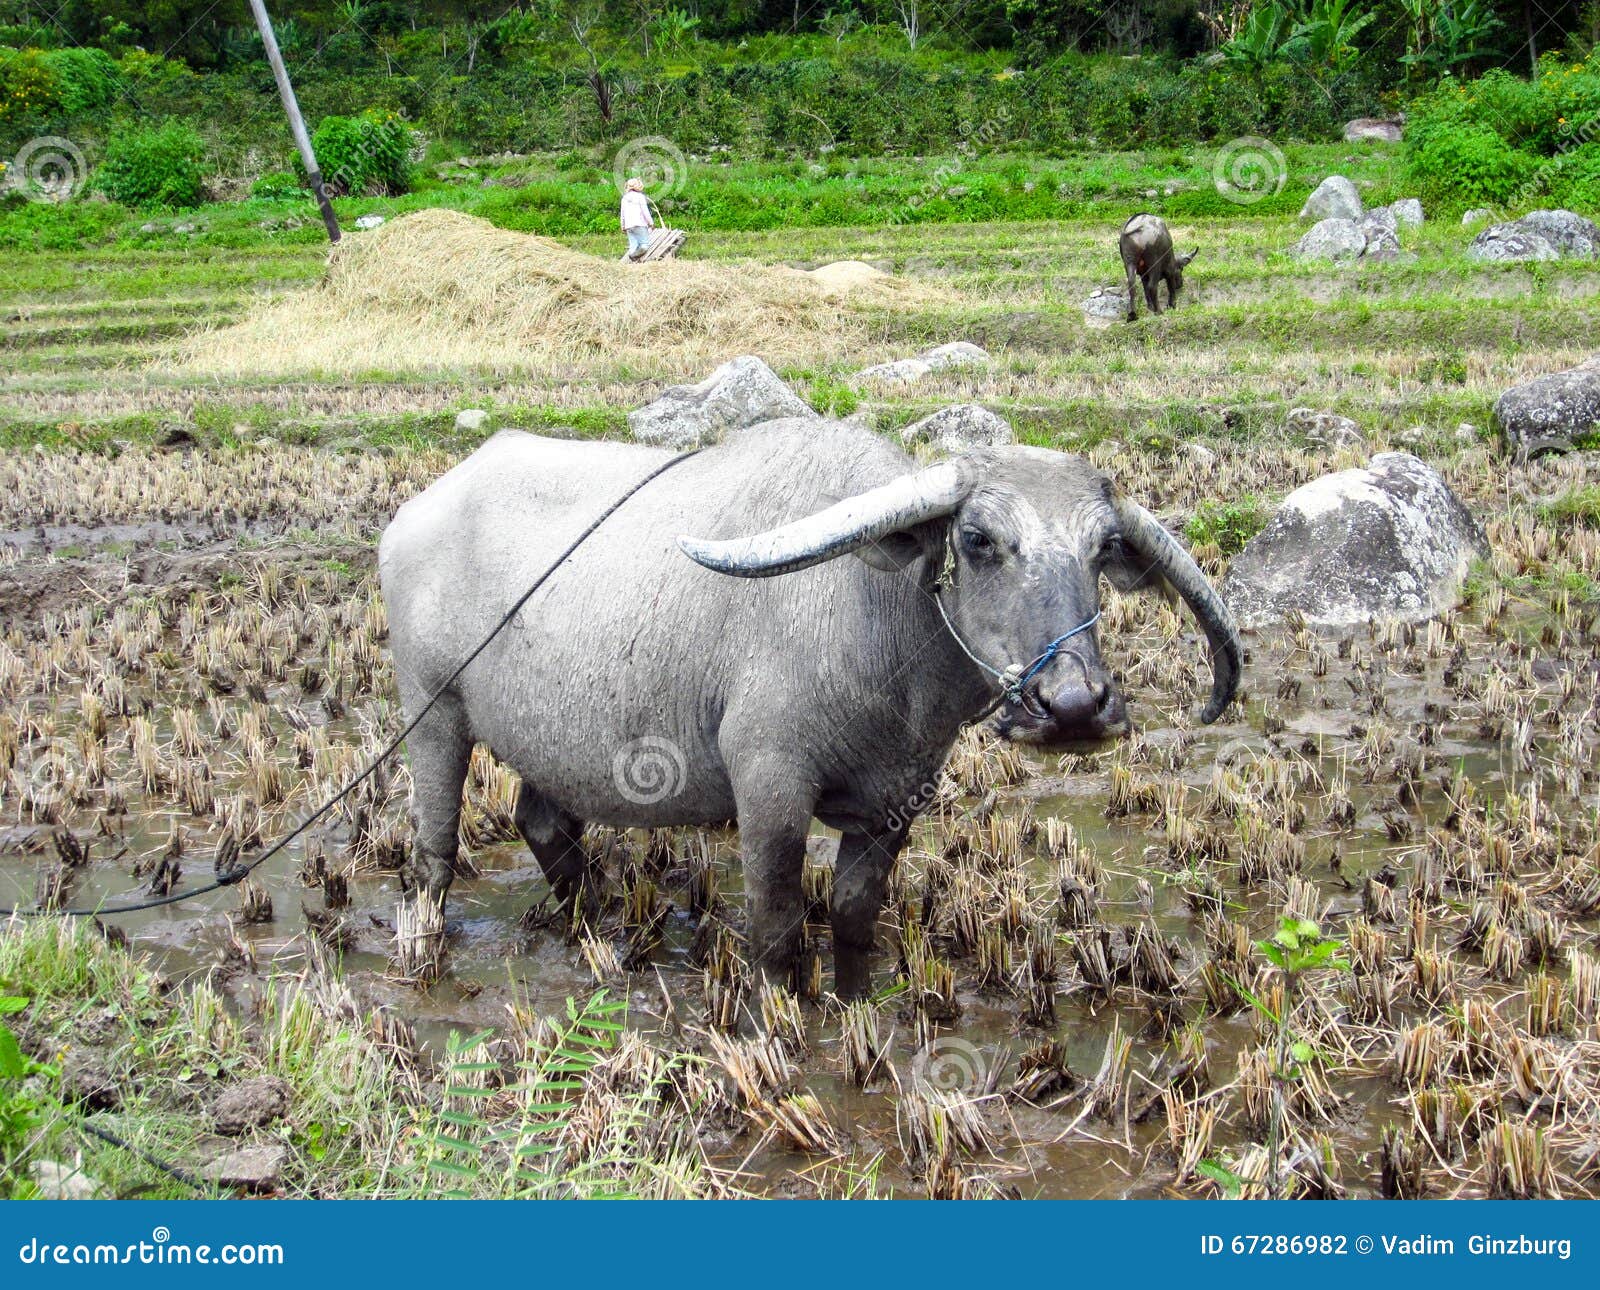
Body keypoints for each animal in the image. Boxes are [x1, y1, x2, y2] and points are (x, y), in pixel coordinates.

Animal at [379, 419, 1240, 998]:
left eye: (1103, 549)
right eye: (979, 539)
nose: (1073, 707)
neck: (868, 618)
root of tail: (413, 515)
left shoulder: (896, 802)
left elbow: (855, 917)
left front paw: (854, 1003)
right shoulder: (770, 788)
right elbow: (777, 929)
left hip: (553, 741)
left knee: (544, 823)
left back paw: (595, 930)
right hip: (434, 713)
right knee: (435, 851)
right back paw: (425, 951)